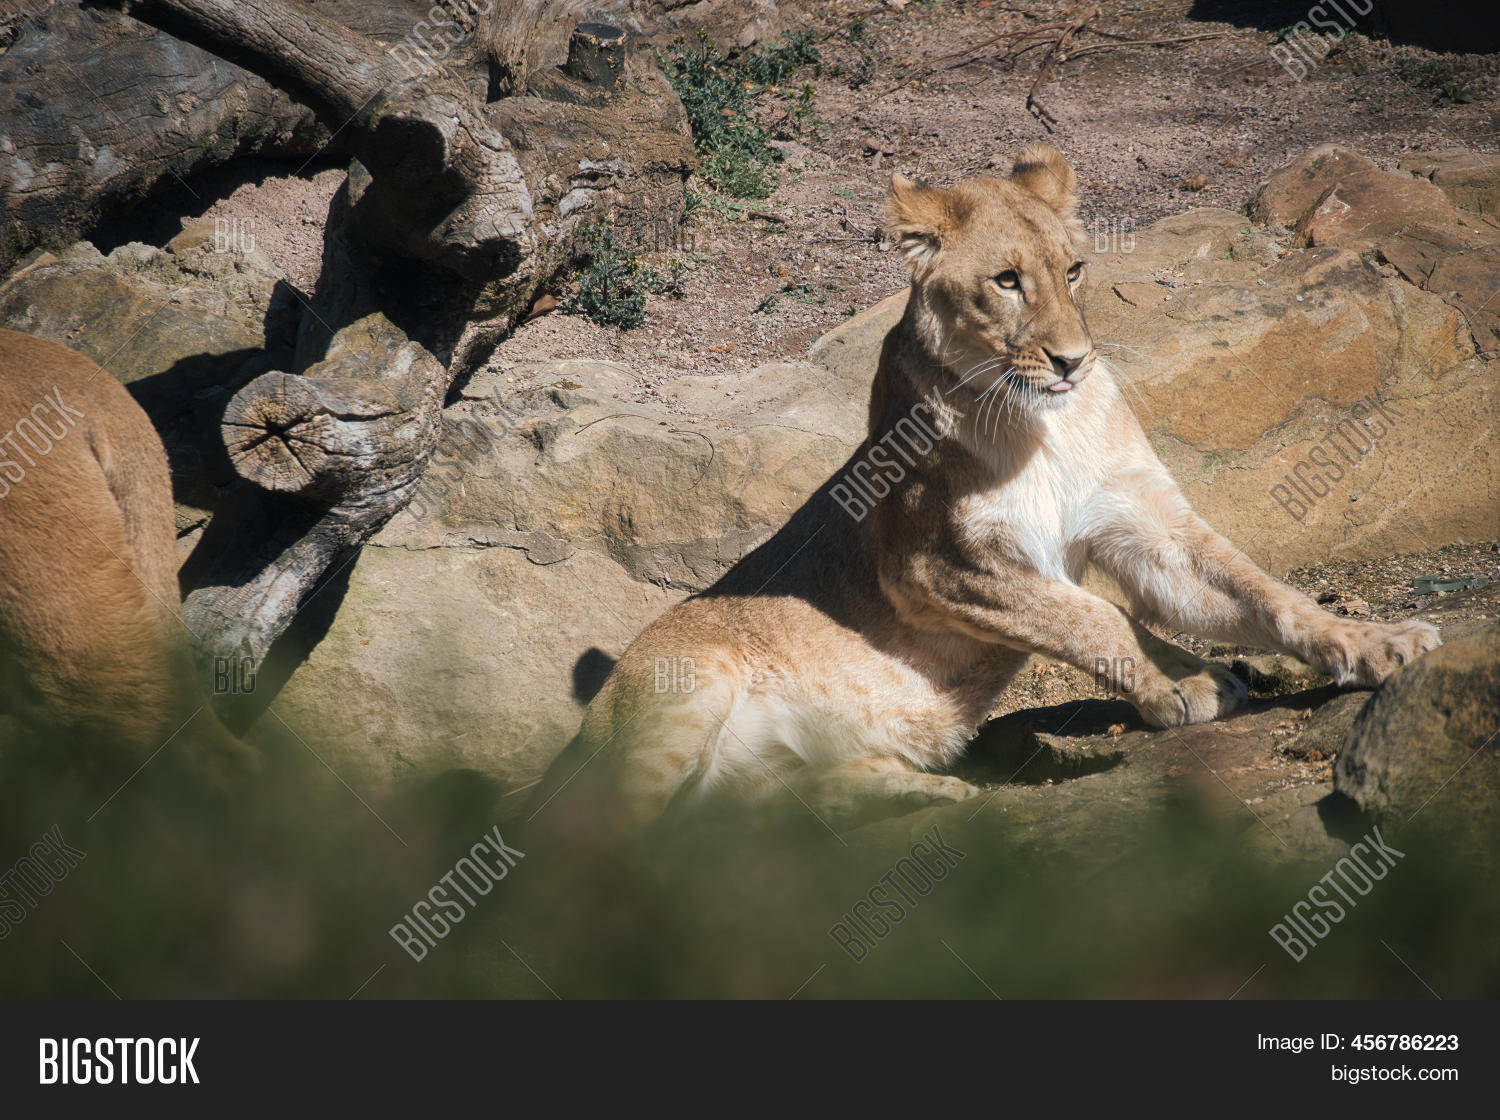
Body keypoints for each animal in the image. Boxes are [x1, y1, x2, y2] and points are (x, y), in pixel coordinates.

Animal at [528, 145, 1439, 838]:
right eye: (1005, 281)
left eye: (1074, 271)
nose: (1074, 360)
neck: (1045, 424)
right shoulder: (939, 564)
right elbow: (1094, 616)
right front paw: (1184, 685)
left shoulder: (1143, 525)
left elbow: (1263, 593)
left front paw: (1382, 644)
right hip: (687, 690)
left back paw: (925, 789)